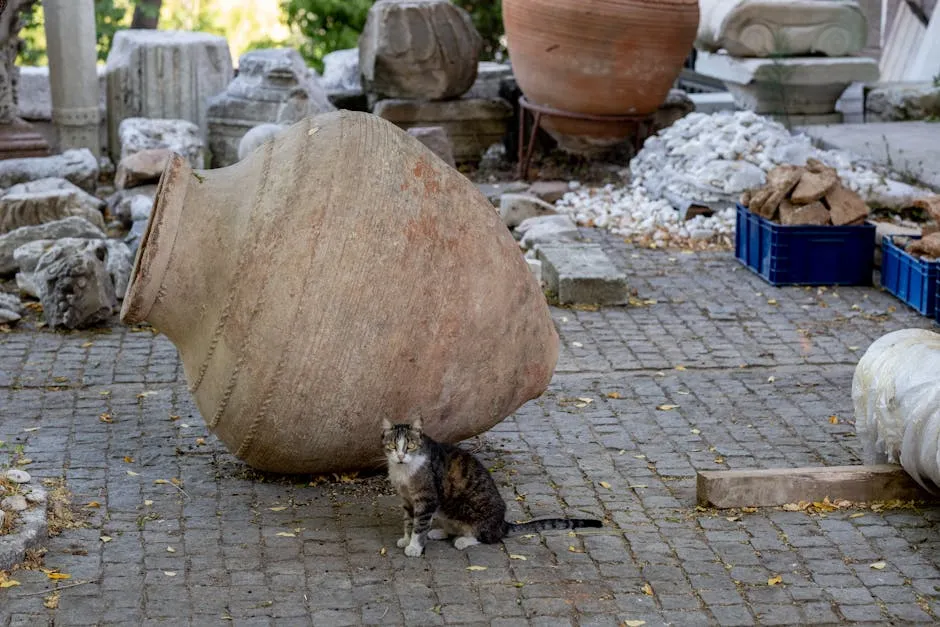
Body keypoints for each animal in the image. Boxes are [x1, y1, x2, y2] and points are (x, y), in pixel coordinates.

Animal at [382, 420, 604, 556]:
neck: (403, 471)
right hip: (446, 510)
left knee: (487, 537)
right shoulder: (407, 499)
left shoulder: (426, 498)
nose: (400, 456)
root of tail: (502, 523)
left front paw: (414, 547)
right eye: (392, 446)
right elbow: (408, 521)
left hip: (470, 511)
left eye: (410, 446)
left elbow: (419, 524)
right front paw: (406, 539)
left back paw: (463, 540)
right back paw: (440, 532)